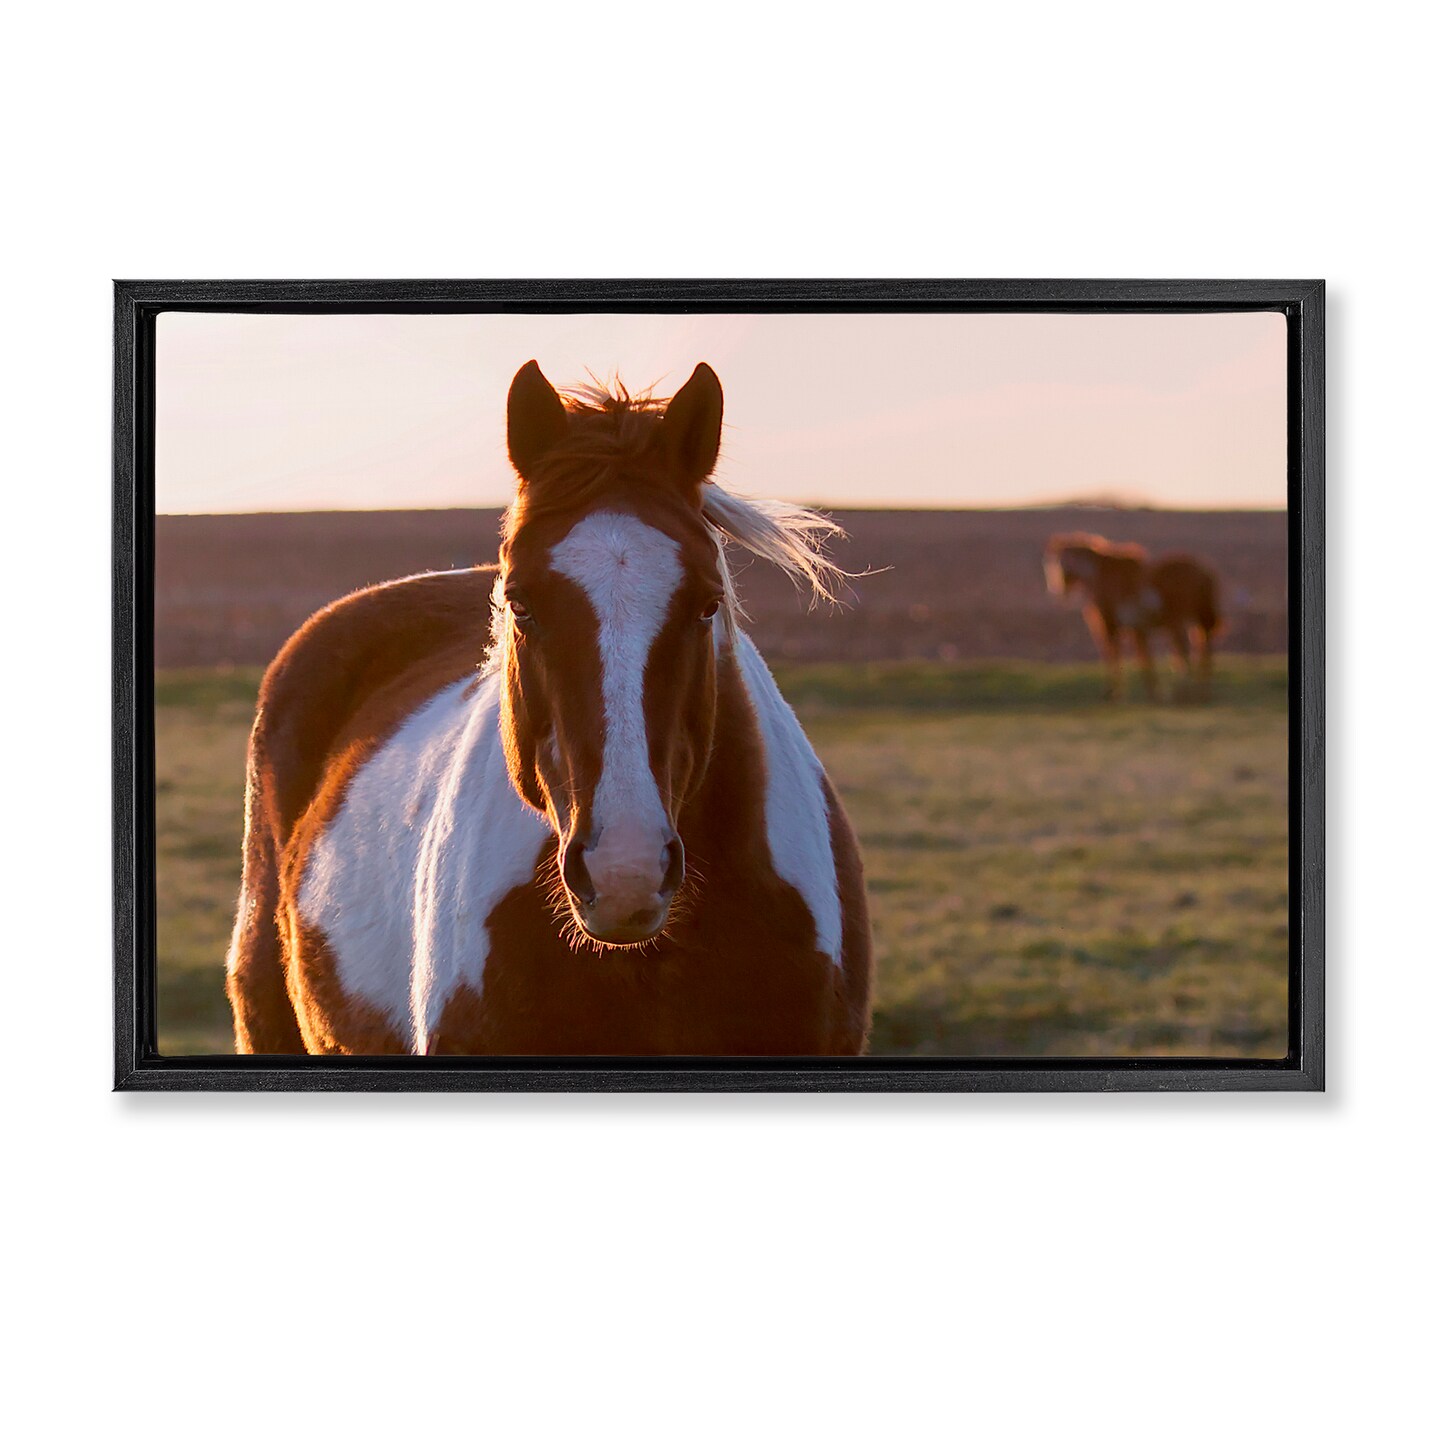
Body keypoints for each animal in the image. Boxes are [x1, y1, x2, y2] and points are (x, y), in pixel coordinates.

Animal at [1044, 532, 1222, 701]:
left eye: (1065, 561)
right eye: (1058, 561)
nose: (1060, 586)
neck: (1101, 577)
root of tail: (1203, 570)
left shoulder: (1109, 626)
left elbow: (1113, 655)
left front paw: (1114, 694)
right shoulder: (1135, 630)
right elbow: (1143, 658)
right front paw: (1153, 692)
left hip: (1179, 622)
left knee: (1187, 651)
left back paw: (1188, 692)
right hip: (1194, 622)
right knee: (1201, 648)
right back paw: (1199, 692)